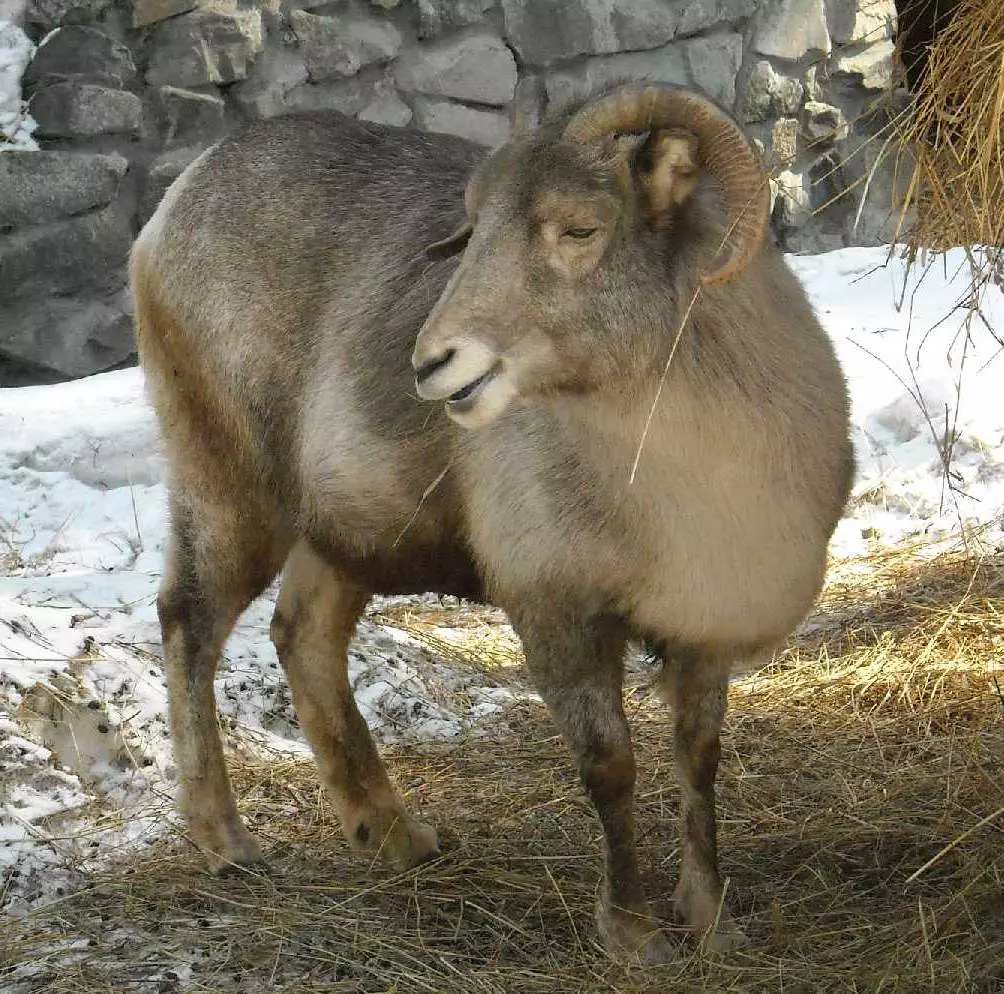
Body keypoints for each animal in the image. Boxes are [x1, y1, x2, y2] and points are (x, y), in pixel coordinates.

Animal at [131, 81, 855, 959]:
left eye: (580, 229)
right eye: (474, 233)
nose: (435, 364)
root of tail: (175, 204)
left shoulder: (701, 631)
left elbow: (699, 759)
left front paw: (709, 919)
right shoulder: (557, 616)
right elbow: (611, 768)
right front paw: (633, 933)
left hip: (342, 537)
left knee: (303, 636)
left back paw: (394, 836)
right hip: (228, 488)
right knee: (190, 625)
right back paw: (228, 845)